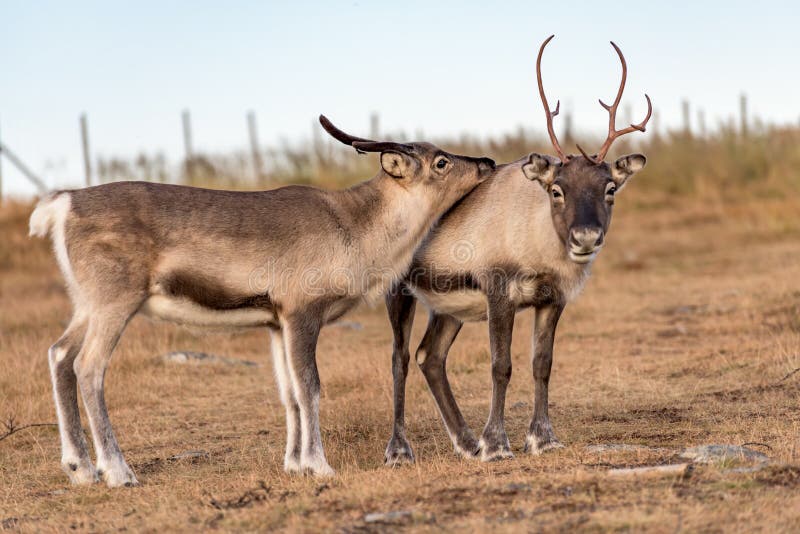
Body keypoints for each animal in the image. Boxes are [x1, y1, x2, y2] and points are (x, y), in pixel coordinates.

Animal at [29, 115, 496, 486]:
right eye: (440, 161)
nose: (487, 163)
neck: (357, 228)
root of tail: (61, 205)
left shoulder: (274, 322)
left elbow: (287, 393)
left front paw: (293, 464)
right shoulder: (301, 311)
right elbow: (310, 387)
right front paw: (319, 465)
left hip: (86, 305)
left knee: (59, 354)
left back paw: (80, 468)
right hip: (114, 301)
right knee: (89, 367)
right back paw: (118, 471)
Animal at [380, 35, 651, 465]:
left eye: (610, 188)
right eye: (557, 189)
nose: (585, 237)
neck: (536, 246)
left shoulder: (552, 299)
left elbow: (542, 364)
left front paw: (543, 438)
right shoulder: (498, 292)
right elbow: (500, 366)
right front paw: (496, 444)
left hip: (449, 307)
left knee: (430, 356)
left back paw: (466, 442)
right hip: (398, 290)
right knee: (400, 358)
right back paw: (400, 449)